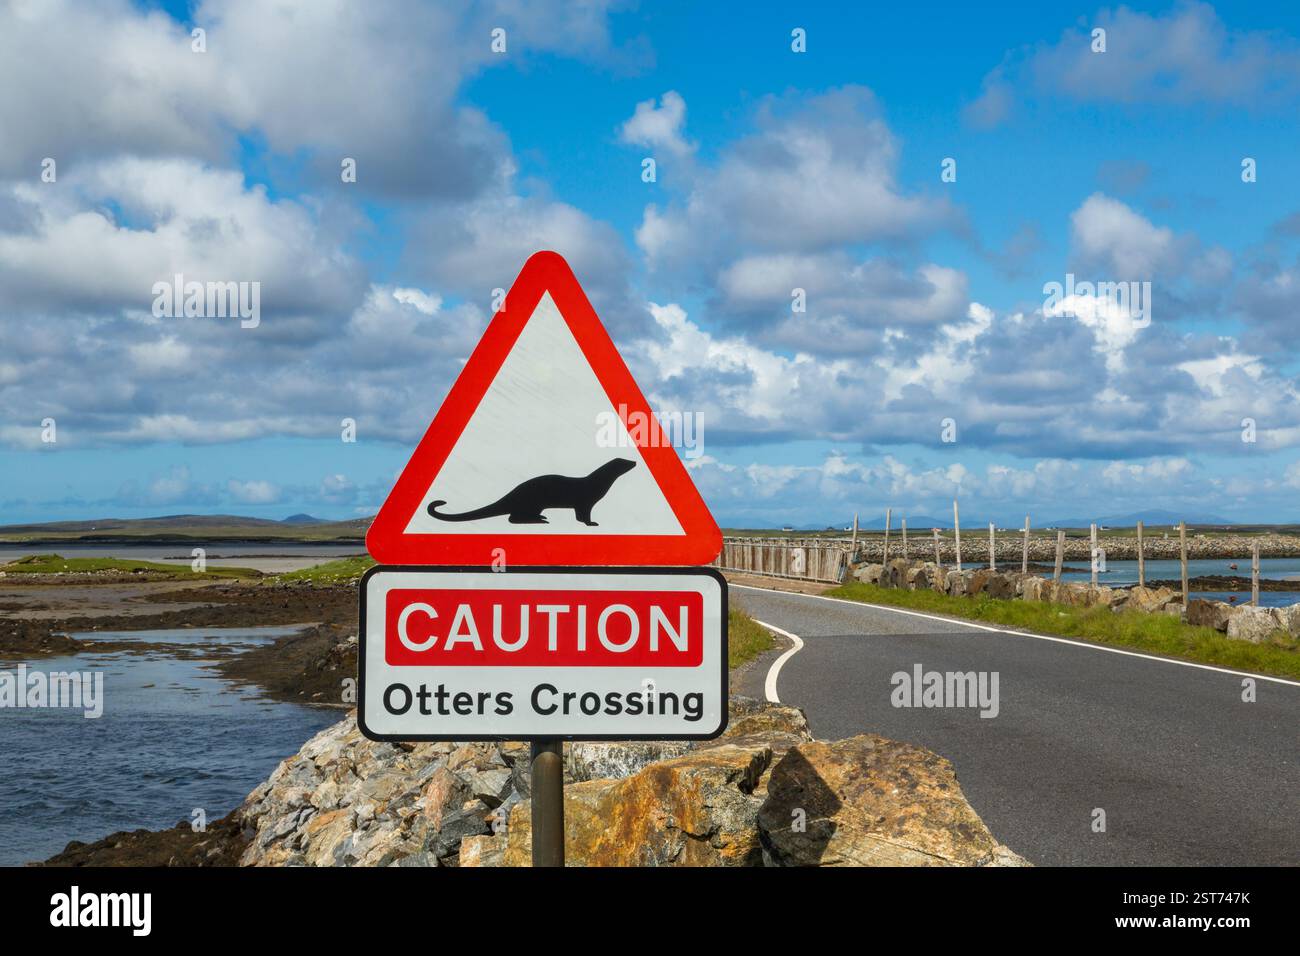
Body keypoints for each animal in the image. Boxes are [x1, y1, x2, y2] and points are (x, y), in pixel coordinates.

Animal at [426, 458, 636, 526]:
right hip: (532, 502)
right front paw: (591, 523)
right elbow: (583, 515)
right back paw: (539, 521)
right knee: (513, 518)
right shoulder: (585, 502)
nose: (634, 461)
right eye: (624, 462)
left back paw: (540, 518)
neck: (596, 482)